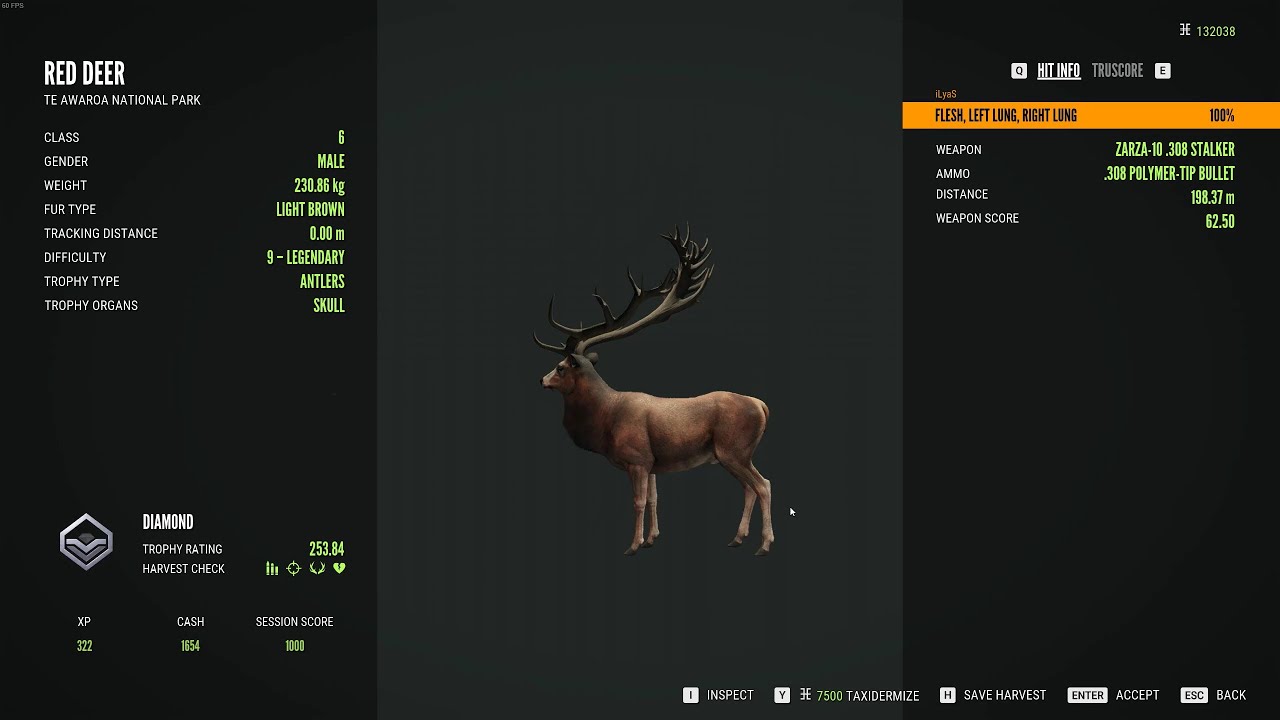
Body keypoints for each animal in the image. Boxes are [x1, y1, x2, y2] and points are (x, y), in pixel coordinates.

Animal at [535, 225, 775, 556]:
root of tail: (761, 405)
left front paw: (633, 545)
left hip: (734, 449)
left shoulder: (636, 458)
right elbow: (653, 499)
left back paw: (763, 544)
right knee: (751, 487)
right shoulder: (652, 464)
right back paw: (738, 538)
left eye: (560, 367)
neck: (604, 418)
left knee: (763, 484)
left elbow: (637, 501)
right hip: (735, 454)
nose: (541, 380)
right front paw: (651, 538)